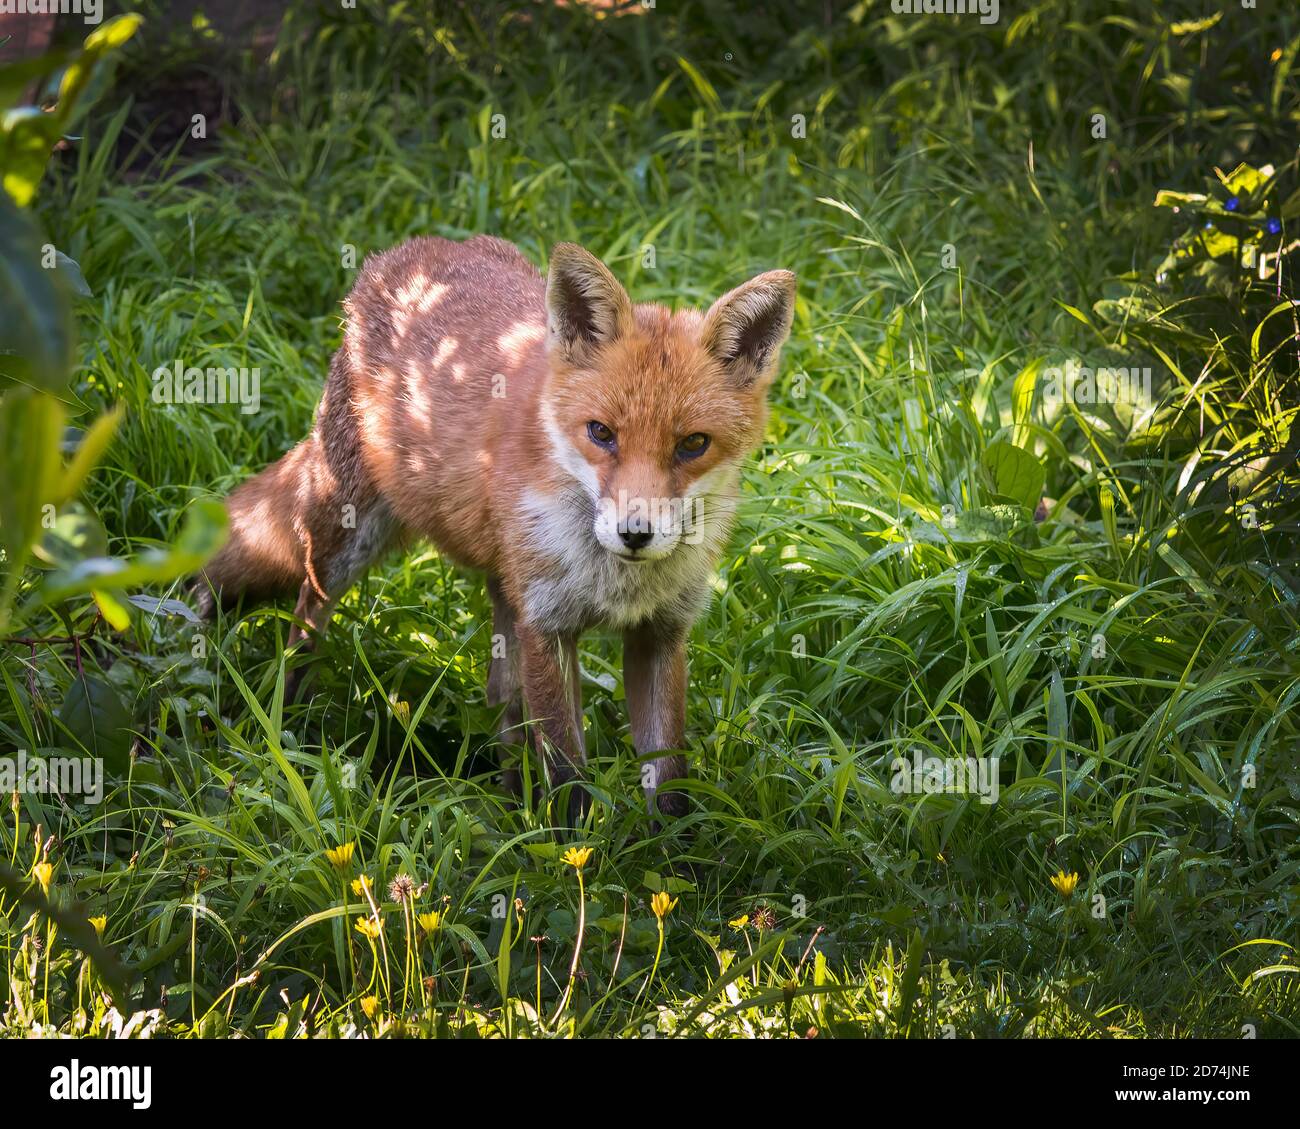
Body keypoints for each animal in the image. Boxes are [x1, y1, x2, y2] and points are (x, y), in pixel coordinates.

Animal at [195, 235, 796, 819]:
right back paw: (290, 729)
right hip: (344, 544)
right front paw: (577, 850)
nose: (635, 533)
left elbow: (669, 783)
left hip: (504, 597)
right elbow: (569, 779)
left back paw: (508, 806)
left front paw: (672, 853)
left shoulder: (660, 634)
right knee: (304, 624)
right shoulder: (547, 627)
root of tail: (409, 251)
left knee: (500, 702)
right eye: (601, 433)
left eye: (693, 444)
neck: (617, 585)